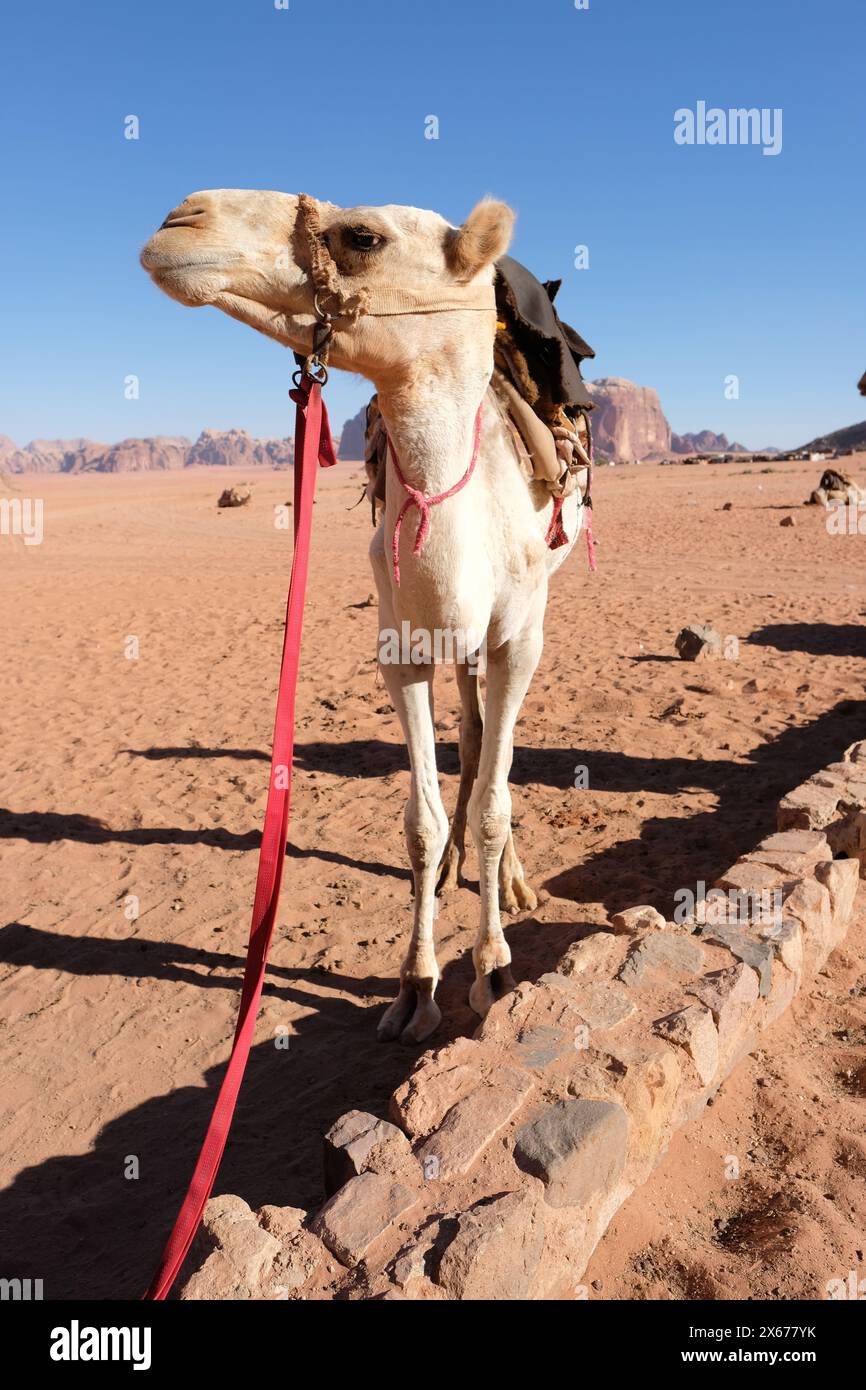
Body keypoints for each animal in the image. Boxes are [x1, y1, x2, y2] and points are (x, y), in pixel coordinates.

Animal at [141, 189, 586, 1043]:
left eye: (363, 236)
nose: (180, 219)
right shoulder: (400, 644)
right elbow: (419, 823)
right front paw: (415, 988)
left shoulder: (518, 637)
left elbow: (494, 803)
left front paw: (493, 968)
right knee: (472, 736)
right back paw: (460, 871)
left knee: (493, 751)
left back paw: (510, 883)